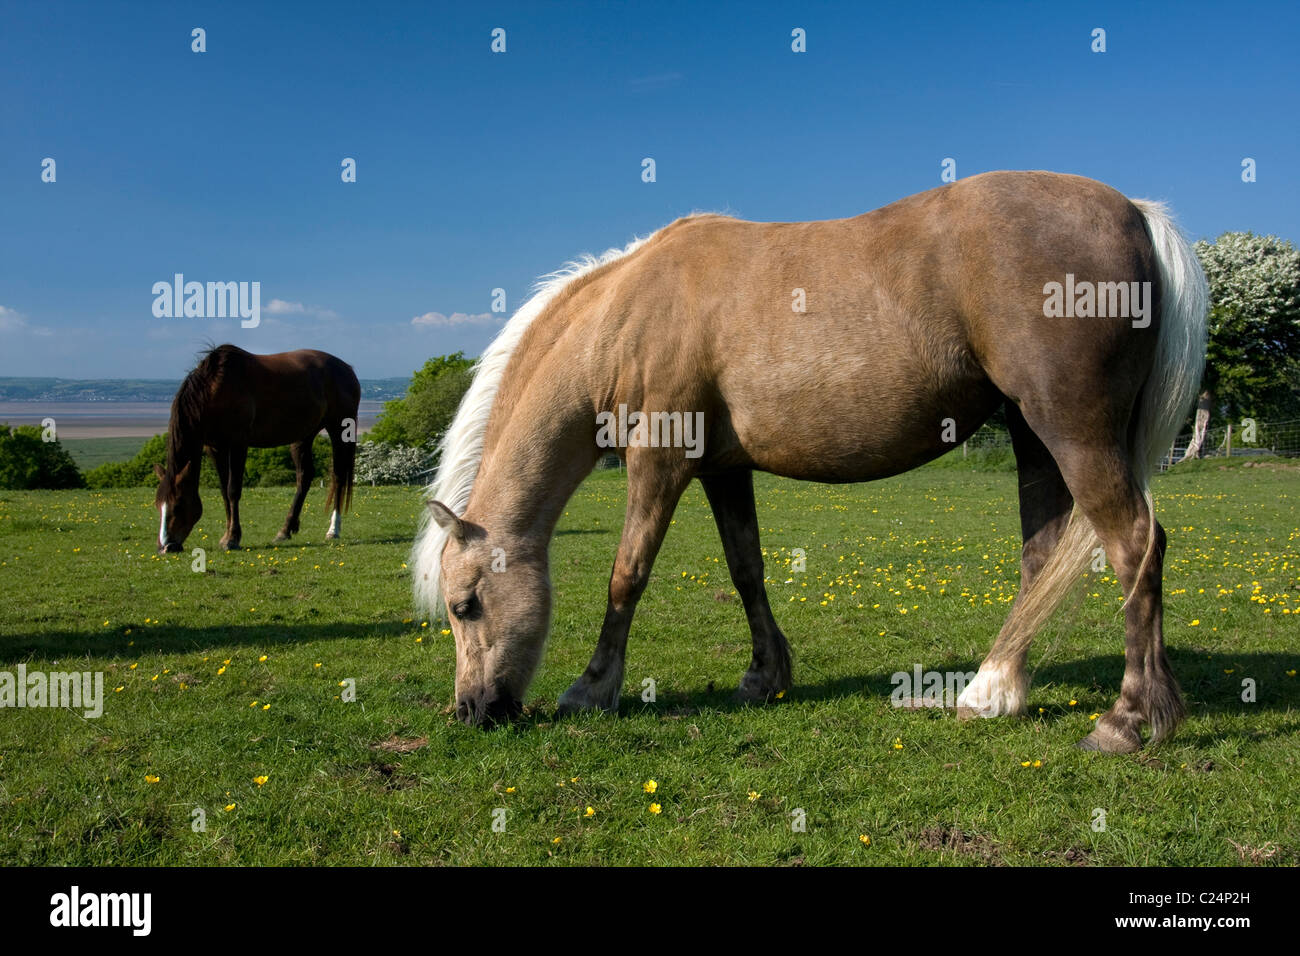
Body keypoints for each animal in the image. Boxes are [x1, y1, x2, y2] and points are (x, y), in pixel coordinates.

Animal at [155, 344, 360, 553]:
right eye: (158, 505)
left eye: (178, 505)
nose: (166, 546)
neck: (217, 390)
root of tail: (346, 369)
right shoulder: (215, 448)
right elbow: (223, 491)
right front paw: (226, 536)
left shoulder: (238, 444)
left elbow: (233, 490)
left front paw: (232, 538)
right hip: (303, 436)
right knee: (305, 477)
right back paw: (285, 530)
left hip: (339, 429)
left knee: (338, 476)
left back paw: (333, 530)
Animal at [412, 170, 1208, 753]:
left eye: (464, 605)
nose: (471, 711)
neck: (627, 315)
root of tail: (1134, 212)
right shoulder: (722, 468)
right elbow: (746, 568)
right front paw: (765, 675)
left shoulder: (659, 463)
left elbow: (627, 575)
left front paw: (592, 689)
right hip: (1031, 434)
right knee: (1042, 556)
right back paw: (993, 691)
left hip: (1072, 432)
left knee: (1135, 545)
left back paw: (1127, 720)